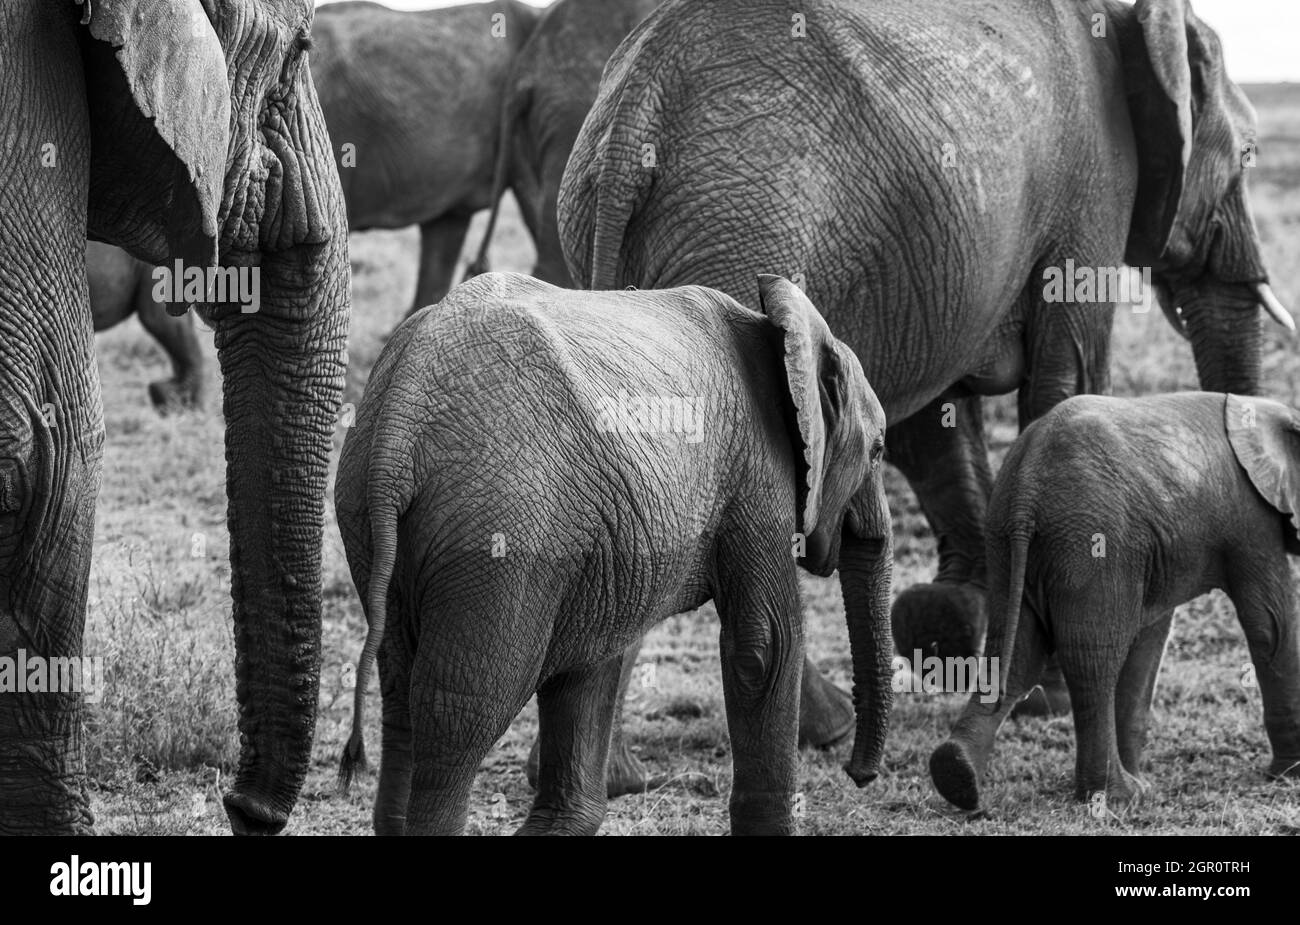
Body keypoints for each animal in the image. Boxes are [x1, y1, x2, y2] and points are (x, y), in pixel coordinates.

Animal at [335, 272, 894, 835]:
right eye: (879, 450)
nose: (859, 774)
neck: (783, 327)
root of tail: (400, 414)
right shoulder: (757, 473)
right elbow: (765, 645)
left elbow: (592, 661)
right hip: (500, 530)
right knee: (463, 712)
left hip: (372, 515)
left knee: (401, 687)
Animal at [558, 0, 1291, 757]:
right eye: (1246, 156)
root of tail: (631, 123)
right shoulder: (1094, 188)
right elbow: (1066, 375)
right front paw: (1046, 692)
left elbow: (934, 425)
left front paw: (955, 632)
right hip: (738, 229)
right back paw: (822, 726)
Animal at [930, 392, 1300, 812]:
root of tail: (1026, 483)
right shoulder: (1253, 520)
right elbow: (1270, 623)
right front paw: (1290, 773)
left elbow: (1149, 640)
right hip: (1092, 540)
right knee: (1093, 662)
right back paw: (1118, 795)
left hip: (1008, 542)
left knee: (1017, 654)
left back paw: (957, 776)